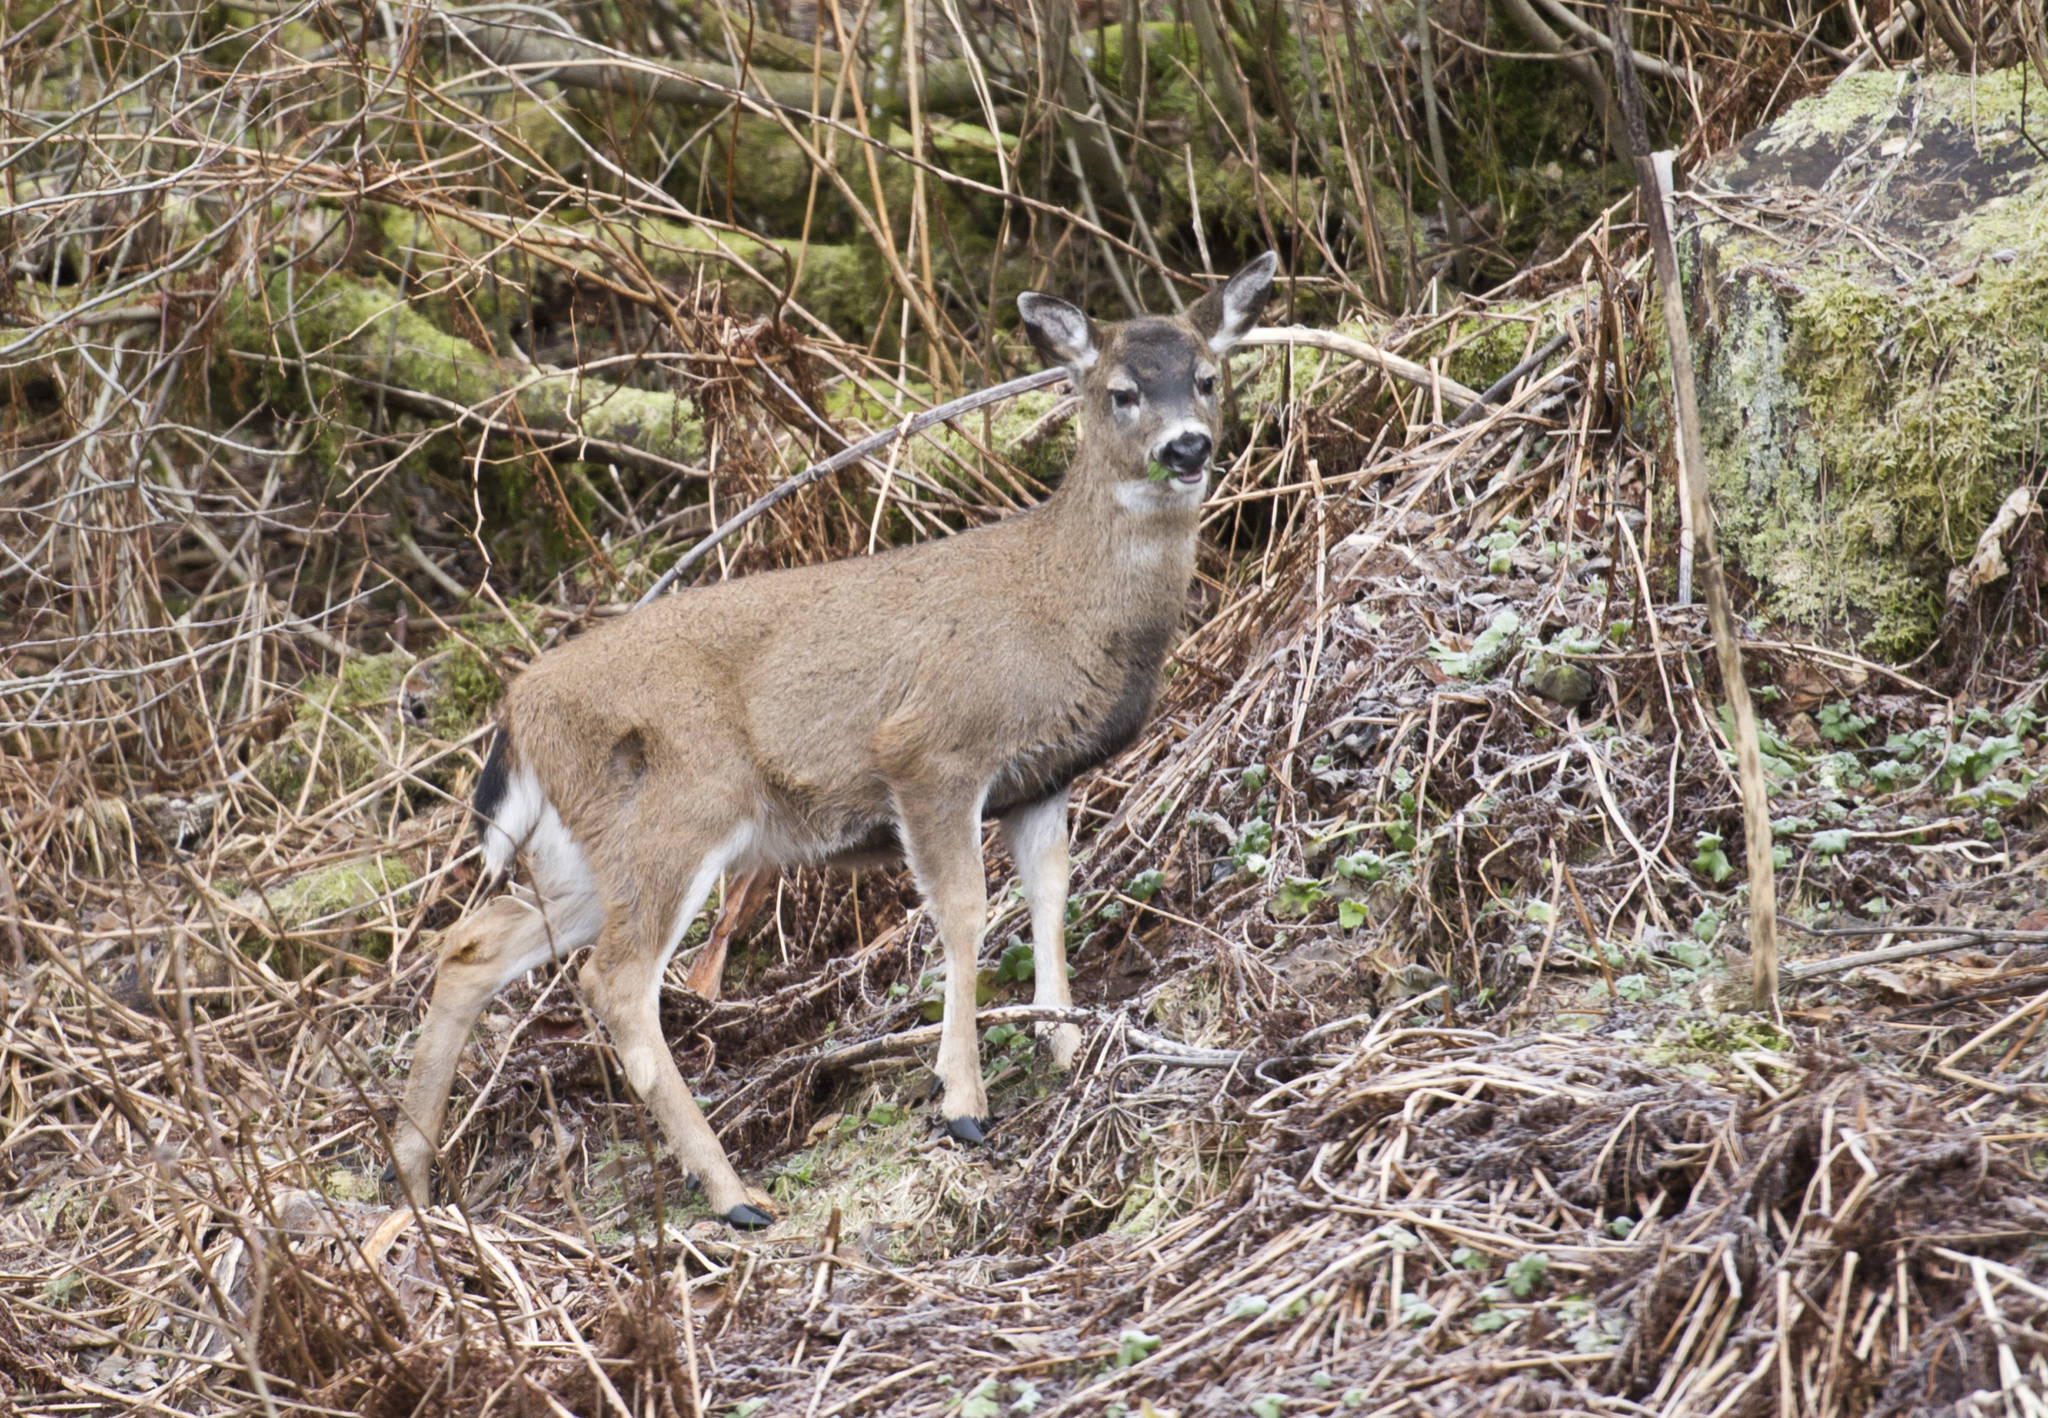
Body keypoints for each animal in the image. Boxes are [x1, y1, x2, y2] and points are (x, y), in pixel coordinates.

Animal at [389, 252, 1280, 1229]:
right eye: (1122, 391)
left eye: (1208, 377)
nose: (1187, 448)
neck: (1062, 604)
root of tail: (517, 710)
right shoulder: (932, 749)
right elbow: (963, 911)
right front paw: (962, 1102)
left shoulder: (1040, 779)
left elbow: (1050, 896)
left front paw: (1066, 1047)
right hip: (680, 811)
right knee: (614, 982)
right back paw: (733, 1195)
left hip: (585, 849)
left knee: (475, 942)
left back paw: (415, 1176)